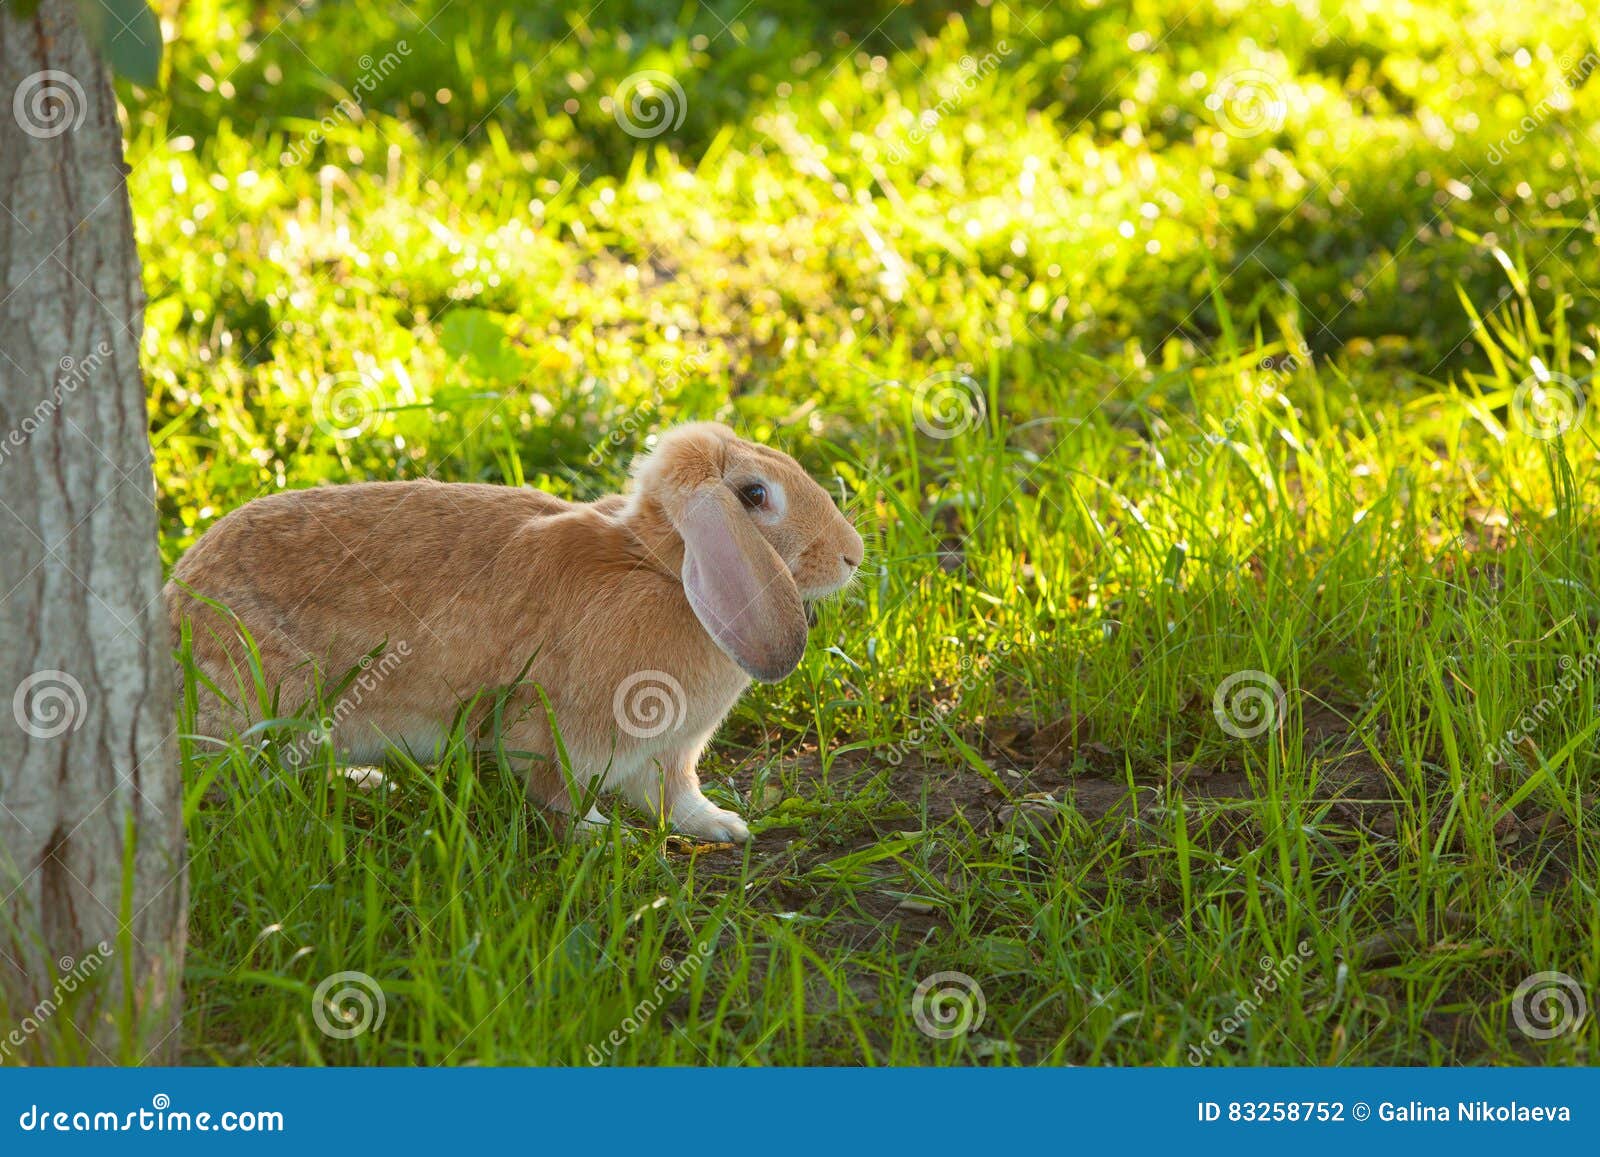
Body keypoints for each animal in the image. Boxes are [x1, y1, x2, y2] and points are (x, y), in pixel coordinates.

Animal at [166, 422, 865, 844]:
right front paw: (600, 837)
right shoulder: (566, 734)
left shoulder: (672, 750)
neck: (660, 569)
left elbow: (676, 796)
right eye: (755, 495)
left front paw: (724, 827)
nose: (852, 555)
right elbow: (559, 795)